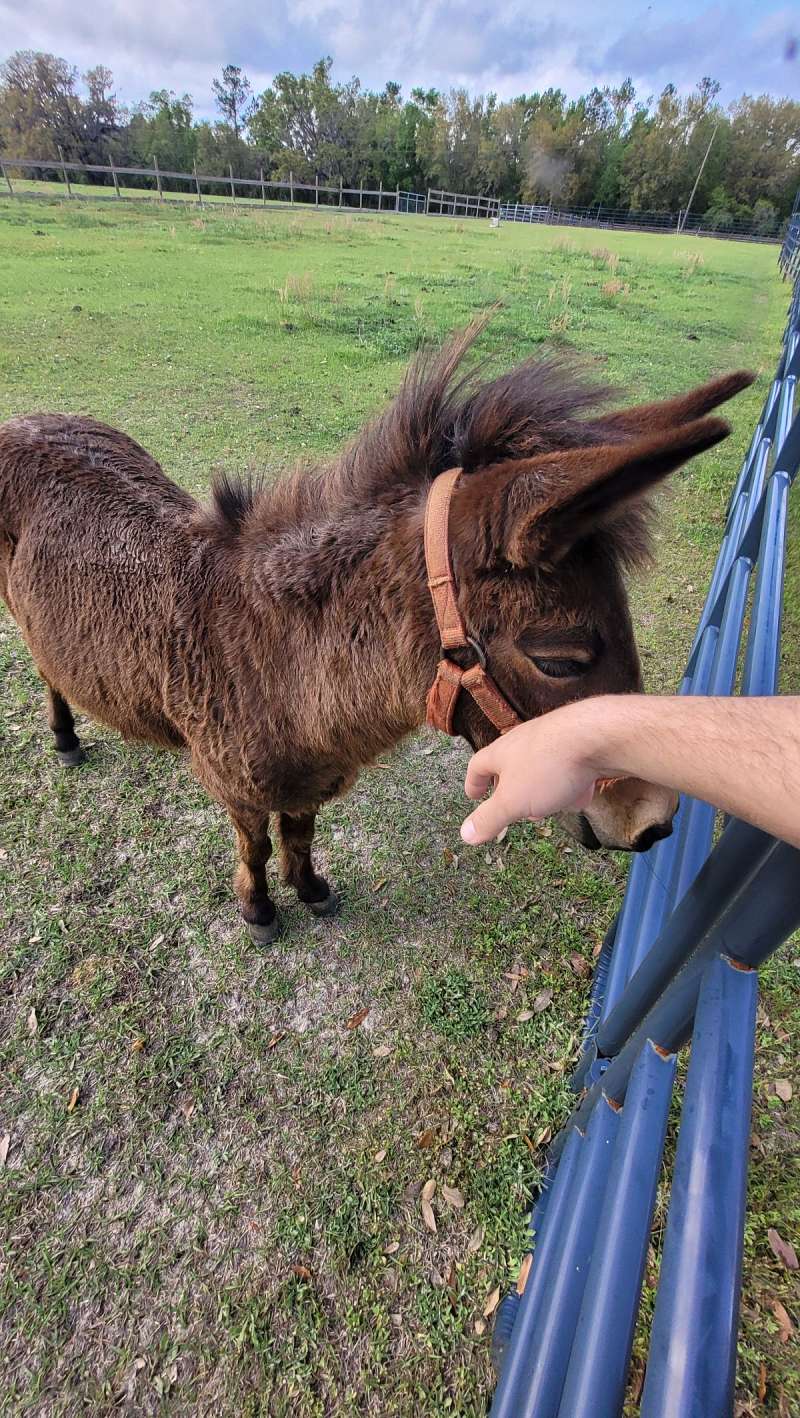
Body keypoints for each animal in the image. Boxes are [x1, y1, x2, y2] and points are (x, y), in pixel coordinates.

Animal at [0, 324, 753, 941]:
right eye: (560, 659)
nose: (653, 821)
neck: (274, 656)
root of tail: (33, 417)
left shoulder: (307, 778)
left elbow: (300, 834)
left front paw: (310, 890)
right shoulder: (234, 781)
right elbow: (256, 846)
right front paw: (259, 910)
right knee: (44, 670)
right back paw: (65, 738)